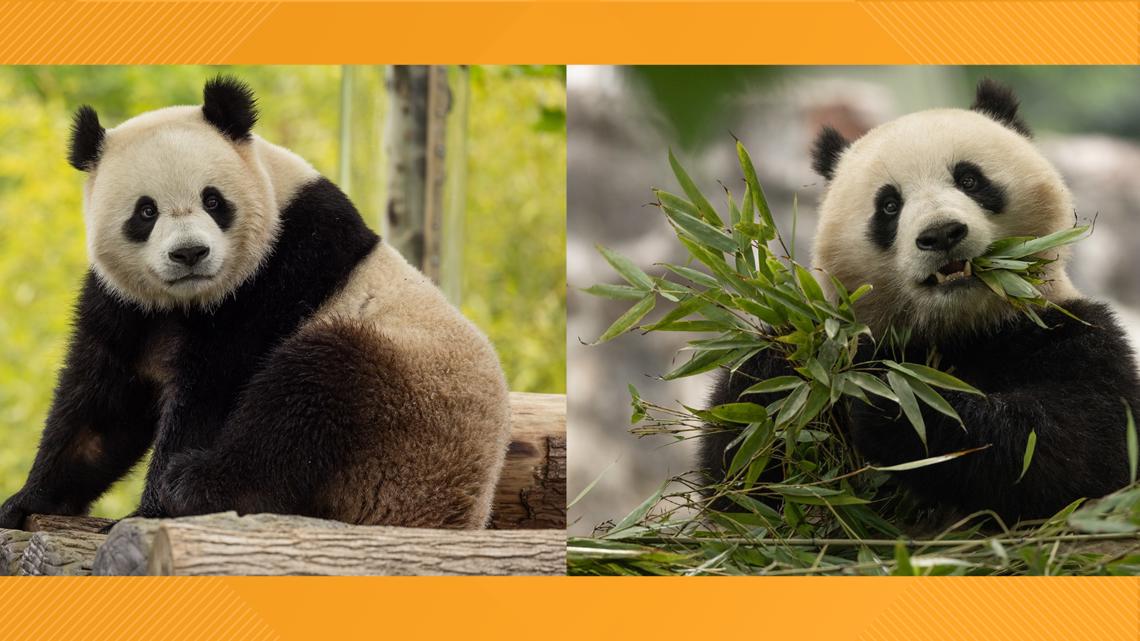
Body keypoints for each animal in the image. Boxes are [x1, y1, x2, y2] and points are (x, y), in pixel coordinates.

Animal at [0, 77, 512, 530]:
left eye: (213, 200)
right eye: (145, 212)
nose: (190, 253)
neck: (188, 301)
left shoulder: (277, 273)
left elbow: (214, 390)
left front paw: (151, 509)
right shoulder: (127, 305)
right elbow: (102, 407)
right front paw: (26, 501)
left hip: (406, 409)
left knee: (309, 397)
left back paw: (197, 484)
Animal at [702, 79, 1138, 522]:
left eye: (969, 180)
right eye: (889, 205)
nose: (942, 233)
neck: (957, 330)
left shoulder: (1068, 333)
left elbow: (1076, 449)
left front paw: (892, 401)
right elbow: (742, 477)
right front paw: (788, 367)